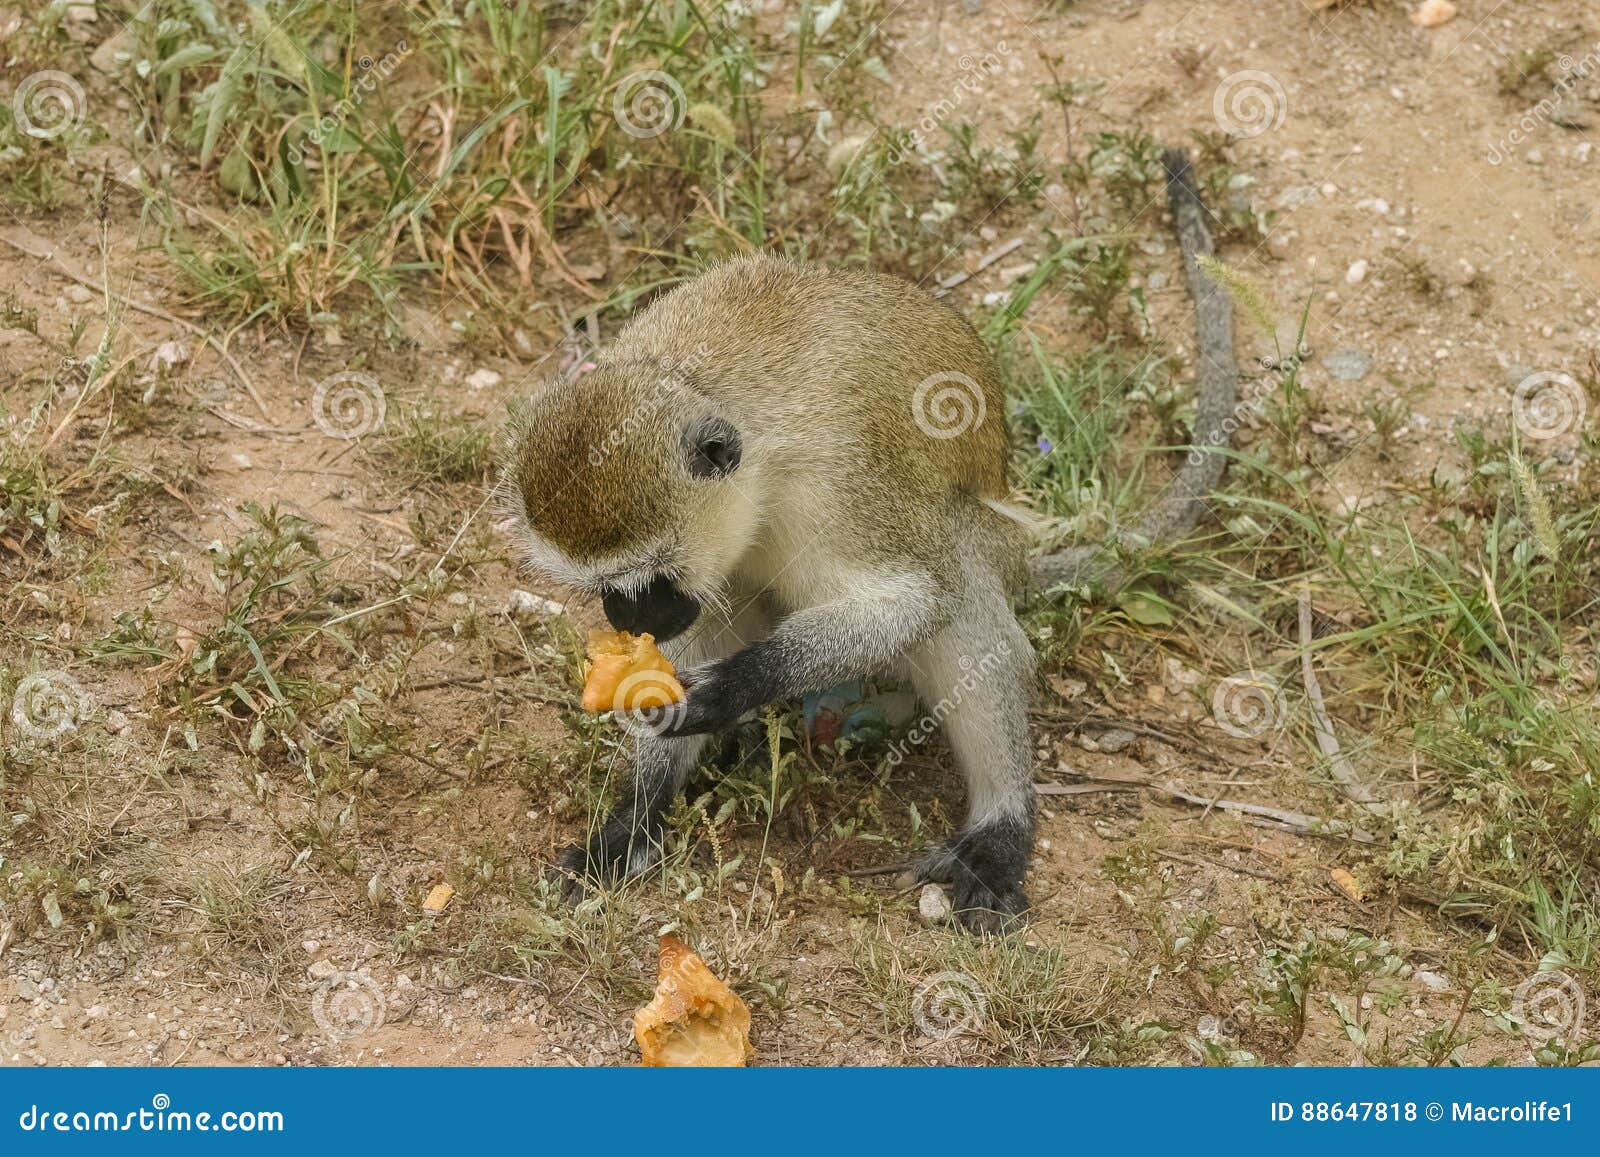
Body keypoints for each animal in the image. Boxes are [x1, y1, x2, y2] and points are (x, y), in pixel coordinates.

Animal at [496, 148, 1237, 933]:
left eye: (651, 579)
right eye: (604, 589)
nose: (626, 618)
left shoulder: (841, 485)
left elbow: (916, 599)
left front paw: (732, 687)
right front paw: (635, 815)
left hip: (983, 544)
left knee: (961, 591)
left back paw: (1002, 823)